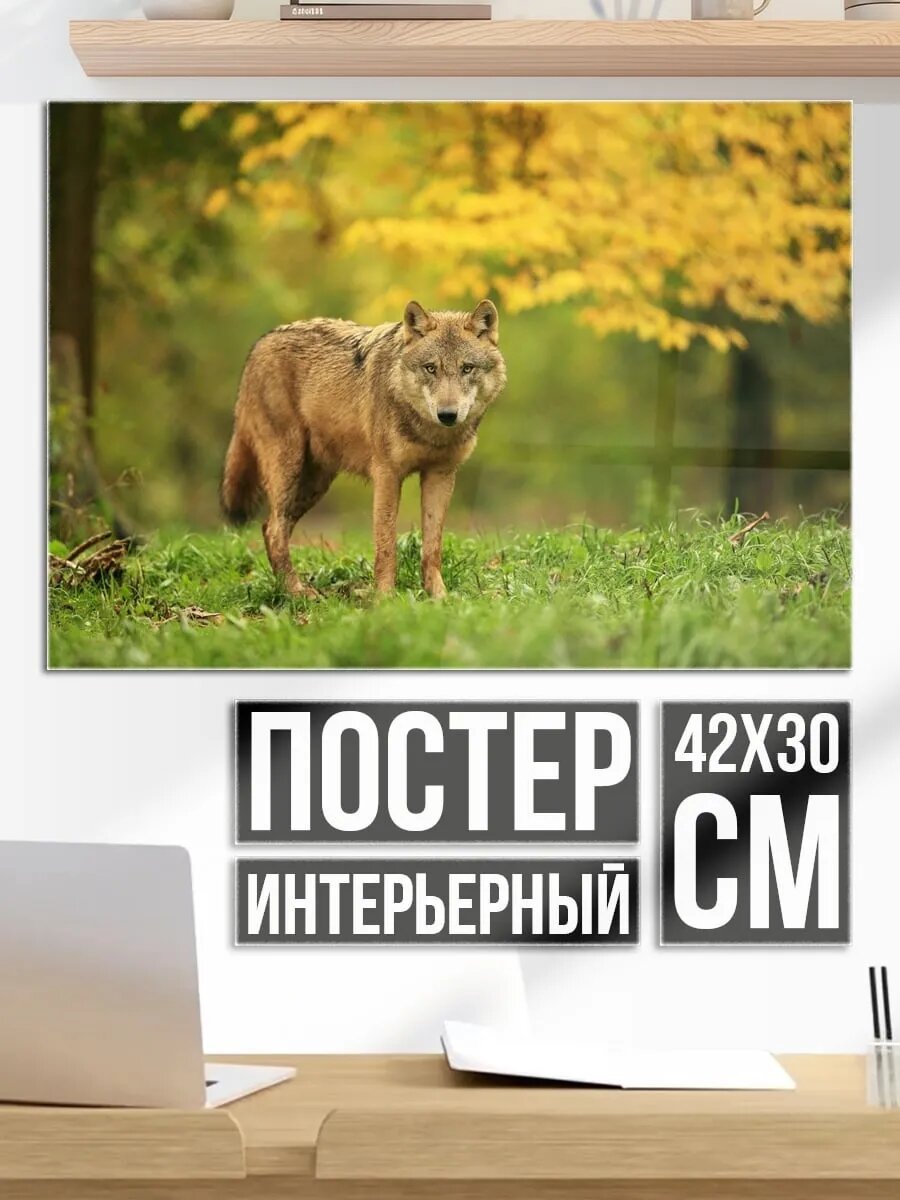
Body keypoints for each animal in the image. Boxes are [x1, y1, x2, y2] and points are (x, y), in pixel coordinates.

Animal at [221, 299, 507, 599]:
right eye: (431, 368)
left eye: (467, 368)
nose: (448, 415)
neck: (430, 433)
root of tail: (259, 344)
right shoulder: (386, 474)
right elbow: (386, 544)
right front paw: (385, 598)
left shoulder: (440, 475)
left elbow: (432, 547)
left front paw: (439, 596)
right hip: (289, 468)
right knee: (274, 529)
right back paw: (298, 592)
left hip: (313, 484)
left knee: (270, 526)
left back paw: (291, 589)